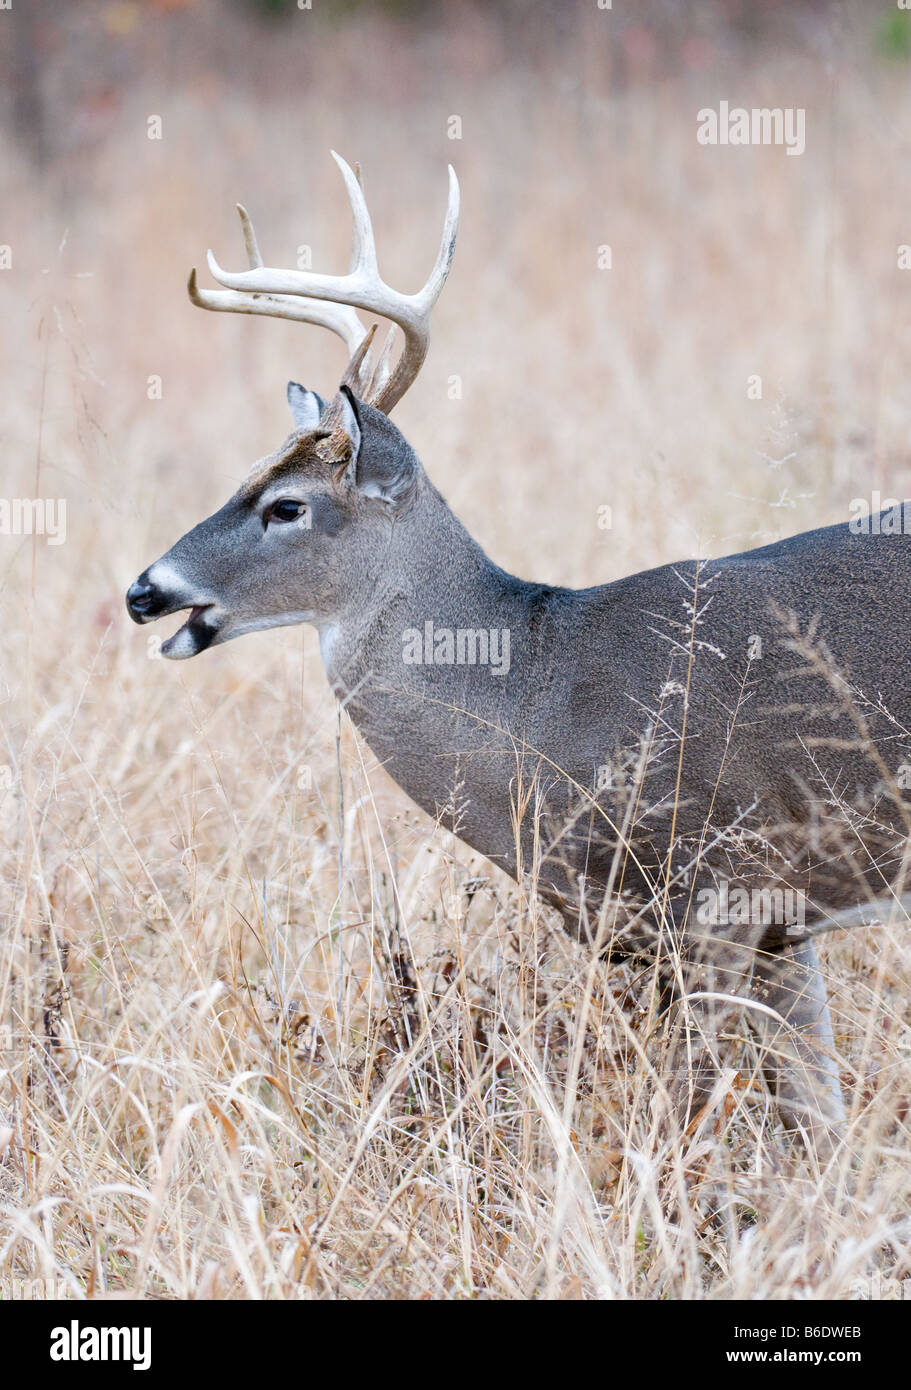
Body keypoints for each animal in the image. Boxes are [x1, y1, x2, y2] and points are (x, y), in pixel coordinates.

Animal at [127, 152, 911, 1161]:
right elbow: (820, 1124)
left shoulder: (719, 891)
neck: (536, 695)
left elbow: (702, 1113)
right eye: (244, 477)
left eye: (287, 505)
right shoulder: (781, 921)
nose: (143, 590)